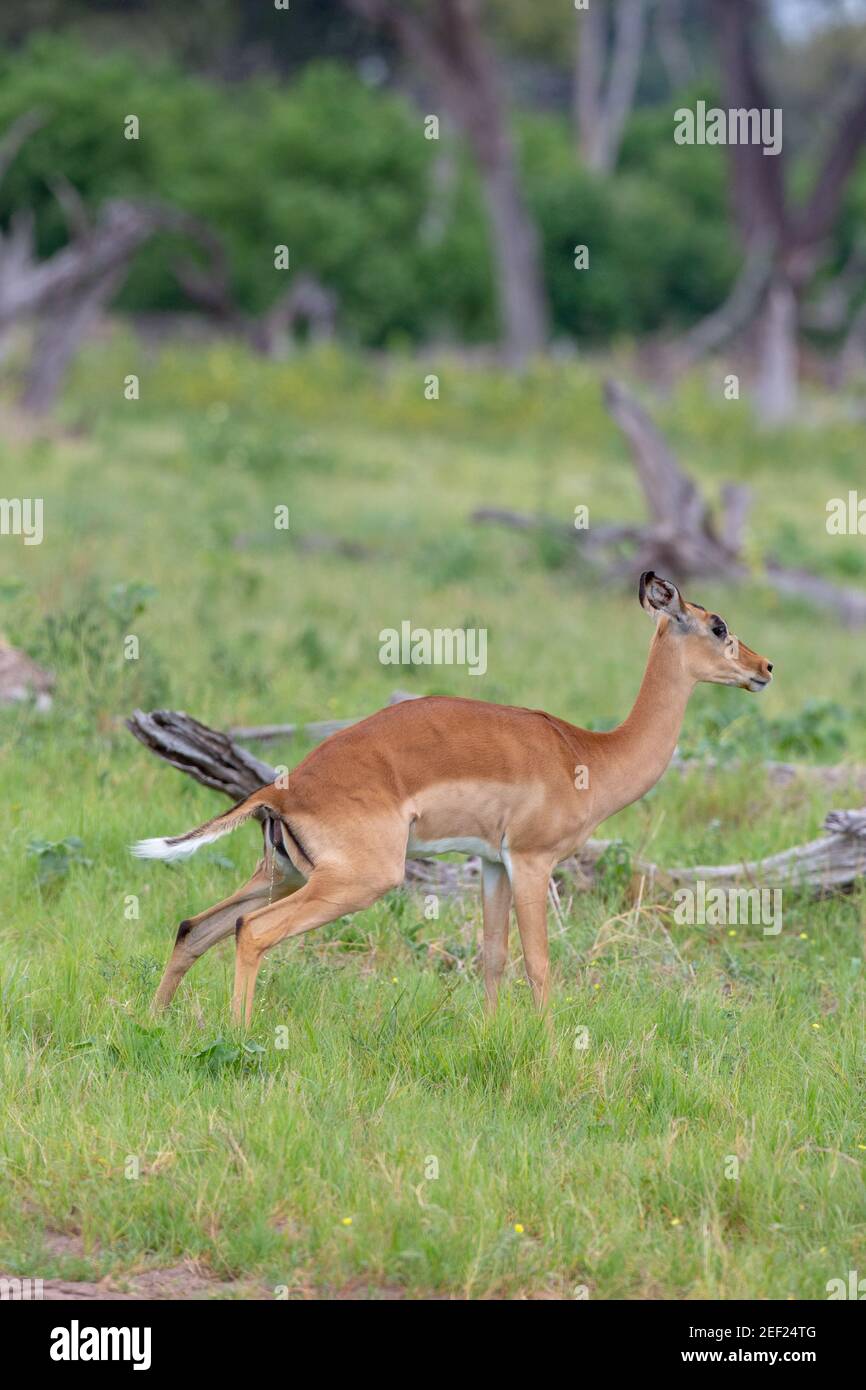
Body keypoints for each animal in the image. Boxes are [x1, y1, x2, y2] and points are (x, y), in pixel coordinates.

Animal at [132, 573, 773, 1026]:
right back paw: (240, 1035)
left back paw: (154, 1023)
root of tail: (282, 787)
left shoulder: (492, 863)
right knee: (252, 931)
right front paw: (551, 1048)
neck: (585, 754)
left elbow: (493, 957)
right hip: (357, 880)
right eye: (718, 625)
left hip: (285, 873)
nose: (764, 667)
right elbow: (539, 964)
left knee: (194, 927)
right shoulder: (533, 861)